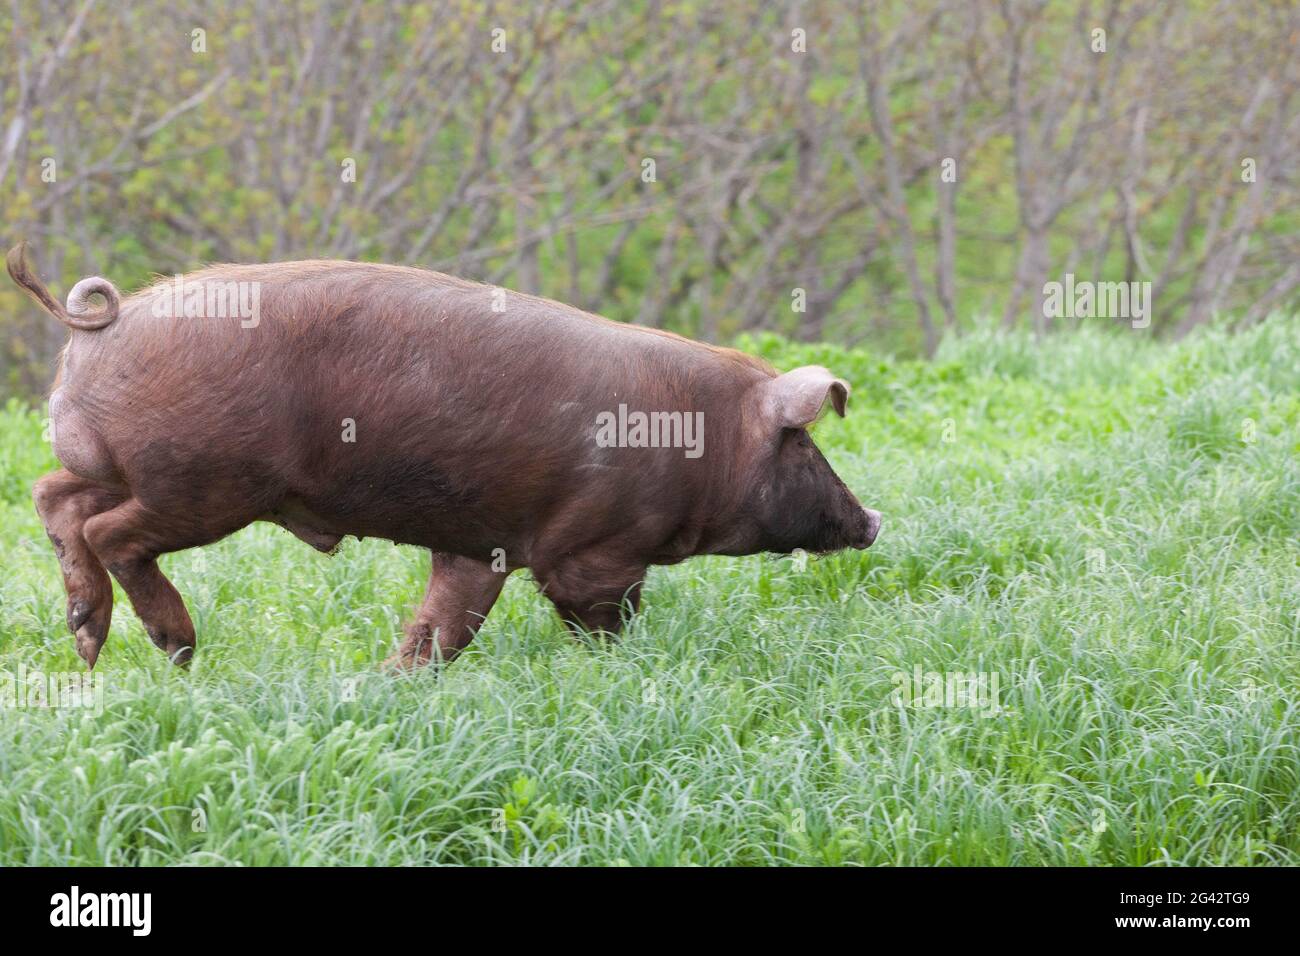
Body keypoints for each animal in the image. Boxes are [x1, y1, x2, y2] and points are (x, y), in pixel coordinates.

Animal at [8, 242, 881, 669]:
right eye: (804, 443)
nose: (873, 519)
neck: (707, 438)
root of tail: (107, 320)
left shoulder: (477, 546)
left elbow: (442, 626)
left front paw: (393, 680)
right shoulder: (594, 552)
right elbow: (600, 616)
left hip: (123, 465)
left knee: (55, 498)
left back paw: (88, 644)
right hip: (207, 479)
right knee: (107, 532)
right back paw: (180, 651)